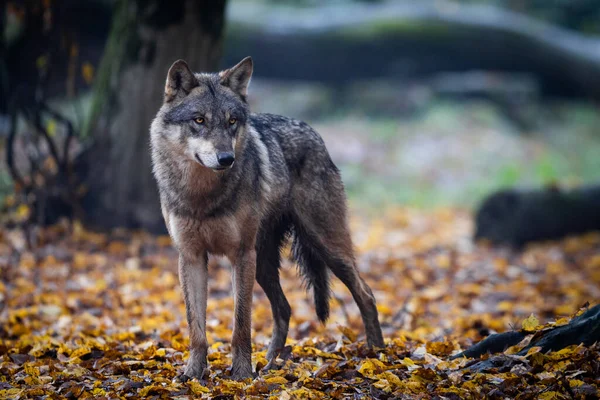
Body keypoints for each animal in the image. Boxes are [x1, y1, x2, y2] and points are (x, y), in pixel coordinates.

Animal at [150, 57, 384, 382]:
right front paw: (193, 374)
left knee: (366, 294)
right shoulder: (191, 257)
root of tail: (314, 133)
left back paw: (377, 355)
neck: (203, 196)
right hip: (264, 264)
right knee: (284, 308)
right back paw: (272, 363)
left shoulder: (240, 255)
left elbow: (241, 324)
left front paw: (241, 374)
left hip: (324, 248)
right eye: (199, 120)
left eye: (232, 121)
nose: (226, 159)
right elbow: (196, 328)